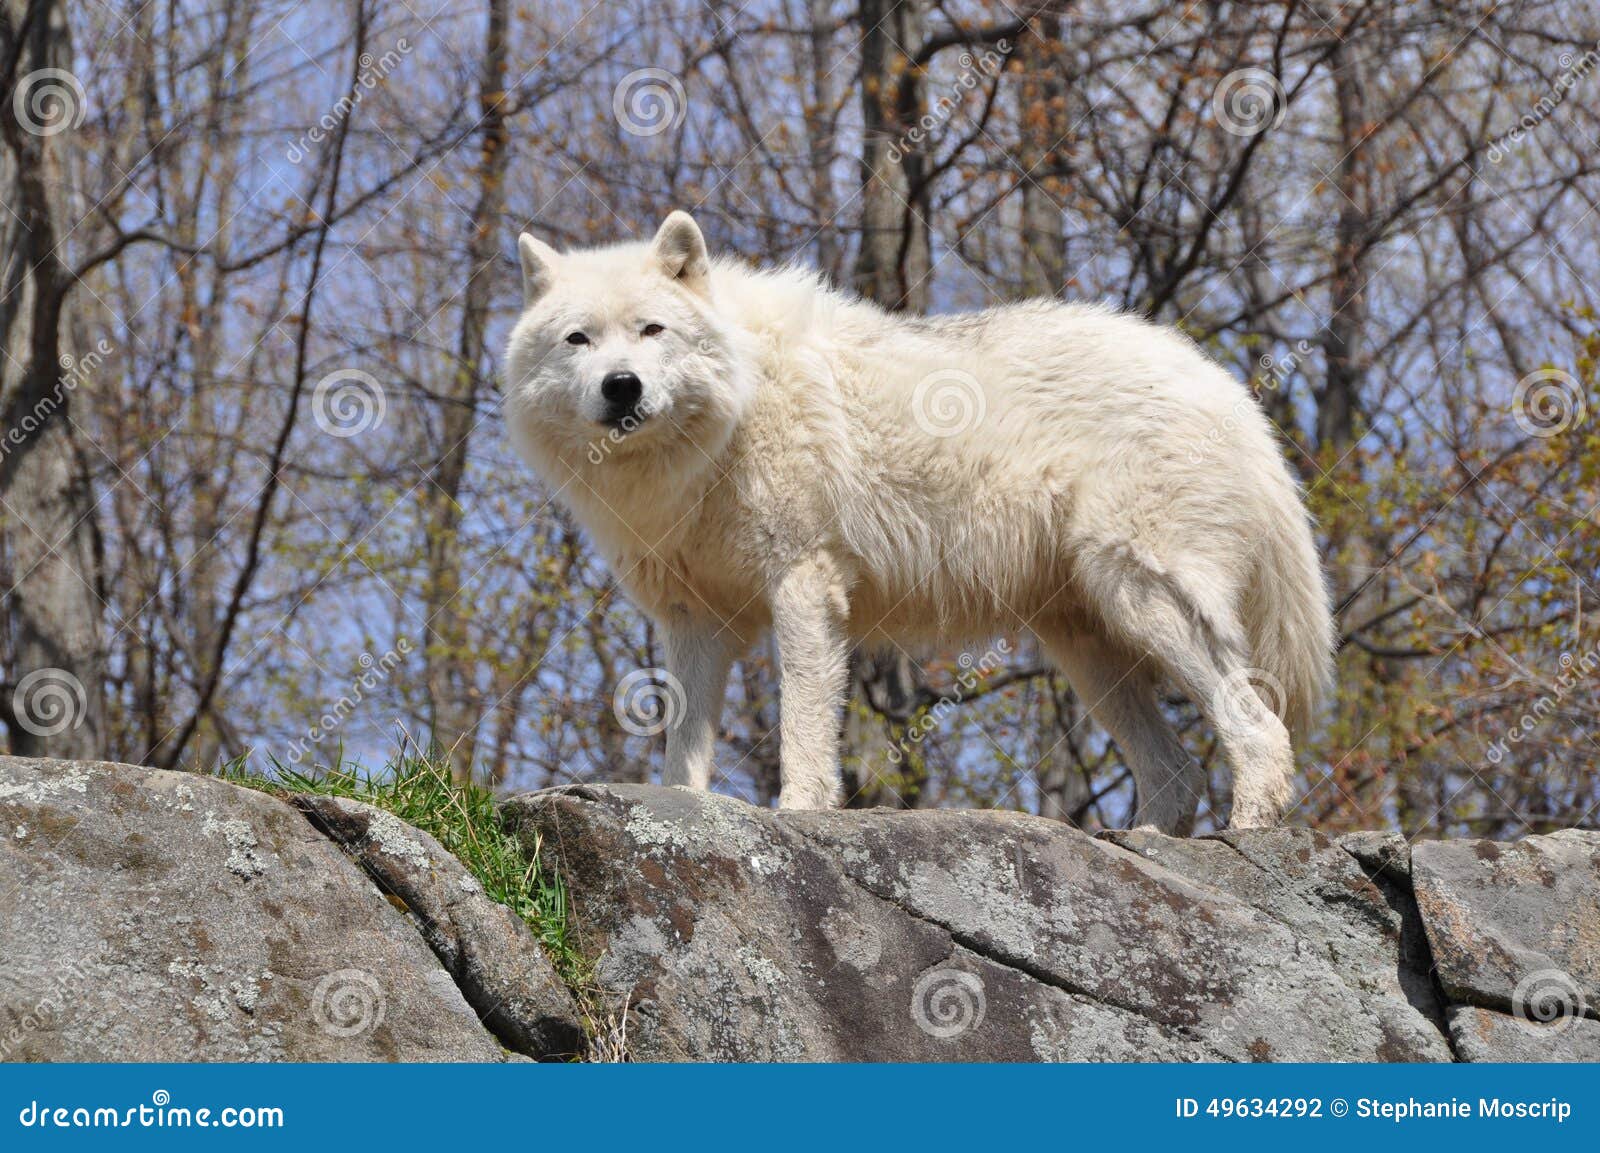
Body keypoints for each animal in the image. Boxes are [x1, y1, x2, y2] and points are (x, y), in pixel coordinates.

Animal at [504, 211, 1334, 833]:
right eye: (579, 339)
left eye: (651, 331)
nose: (621, 386)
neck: (723, 426)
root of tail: (1228, 389)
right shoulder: (696, 620)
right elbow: (685, 749)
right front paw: (680, 807)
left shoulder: (806, 586)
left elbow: (803, 725)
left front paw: (799, 813)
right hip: (1091, 647)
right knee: (1179, 768)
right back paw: (1145, 842)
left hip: (1143, 599)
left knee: (1260, 728)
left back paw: (1245, 835)